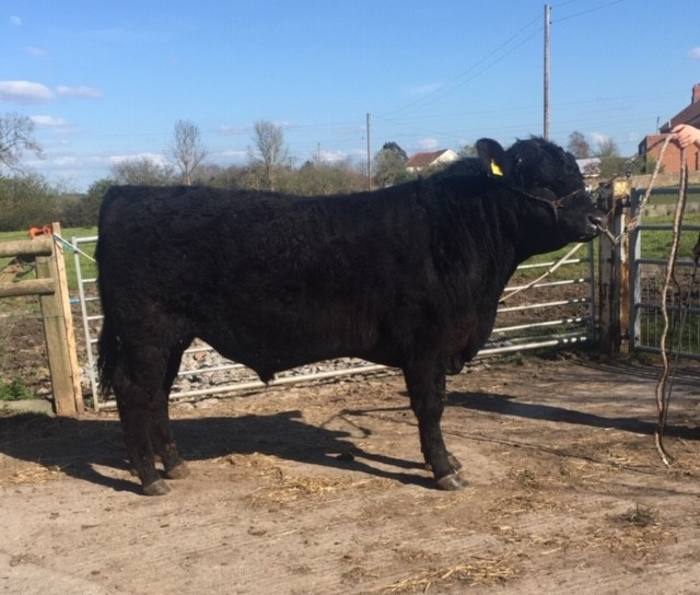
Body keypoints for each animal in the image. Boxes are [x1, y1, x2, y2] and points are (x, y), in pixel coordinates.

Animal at [96, 137, 602, 496]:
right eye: (539, 181)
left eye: (576, 171)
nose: (596, 220)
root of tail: (125, 194)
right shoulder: (426, 343)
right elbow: (431, 407)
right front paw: (443, 470)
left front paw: (447, 462)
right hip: (146, 331)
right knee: (134, 390)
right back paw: (148, 478)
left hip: (170, 337)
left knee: (158, 394)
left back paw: (175, 465)